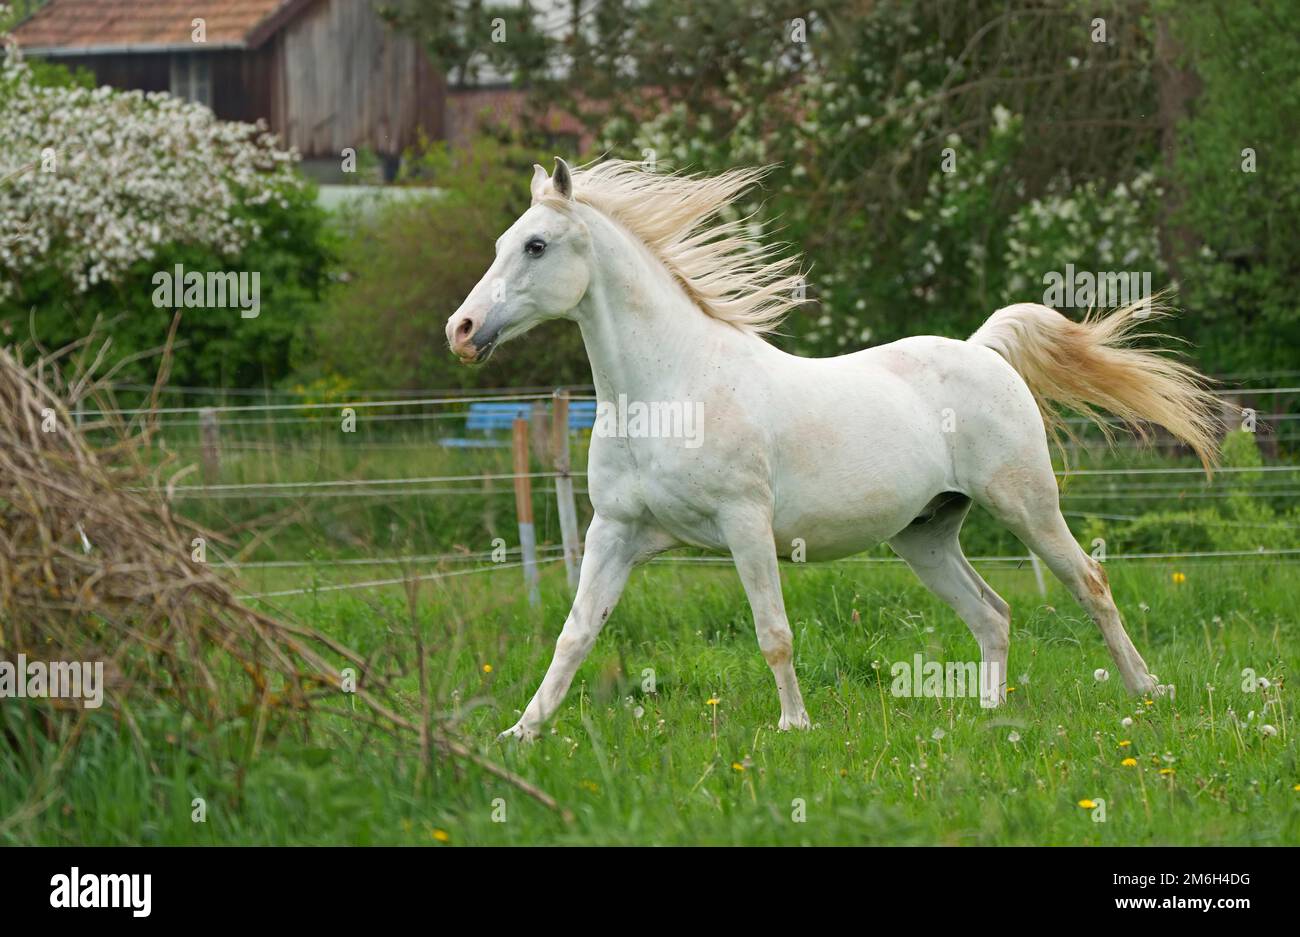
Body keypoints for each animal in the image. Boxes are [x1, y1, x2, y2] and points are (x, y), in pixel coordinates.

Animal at [445, 158, 1218, 740]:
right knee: (991, 611)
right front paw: (521, 733)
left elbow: (773, 631)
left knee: (1091, 583)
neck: (669, 389)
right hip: (926, 534)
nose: (462, 330)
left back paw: (1146, 690)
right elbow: (574, 635)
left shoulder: (744, 525)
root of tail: (981, 349)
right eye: (501, 244)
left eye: (537, 246)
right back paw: (988, 711)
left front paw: (795, 726)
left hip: (1026, 505)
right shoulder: (616, 531)